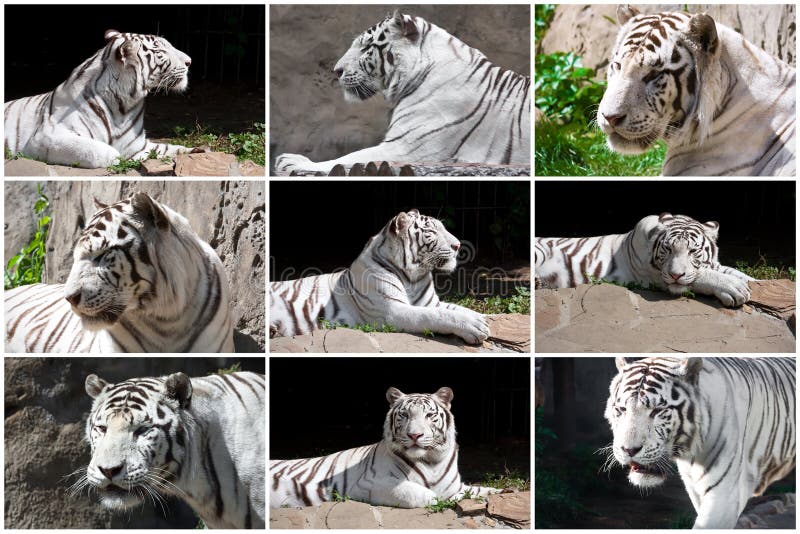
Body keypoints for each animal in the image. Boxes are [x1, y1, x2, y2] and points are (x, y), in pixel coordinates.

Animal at [5, 30, 194, 169]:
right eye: (161, 51)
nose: (189, 61)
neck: (125, 105)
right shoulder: (47, 136)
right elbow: (102, 151)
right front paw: (119, 160)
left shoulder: (138, 146)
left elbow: (169, 148)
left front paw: (195, 151)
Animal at [269, 209, 490, 344]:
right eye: (431, 231)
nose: (457, 245)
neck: (413, 277)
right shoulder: (392, 311)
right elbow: (436, 315)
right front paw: (475, 327)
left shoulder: (431, 302)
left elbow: (455, 308)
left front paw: (481, 319)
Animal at [270, 386, 501, 508]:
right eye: (404, 415)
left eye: (429, 415)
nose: (414, 435)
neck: (431, 460)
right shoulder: (371, 484)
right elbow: (429, 496)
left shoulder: (455, 486)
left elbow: (481, 490)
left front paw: (501, 492)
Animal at [534, 213, 753, 307]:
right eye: (668, 249)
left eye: (693, 251)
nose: (675, 274)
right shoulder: (655, 277)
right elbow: (699, 276)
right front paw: (734, 289)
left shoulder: (714, 263)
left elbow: (737, 273)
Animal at [604, 357, 795, 528]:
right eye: (621, 409)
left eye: (658, 410)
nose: (629, 450)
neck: (691, 452)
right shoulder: (695, 489)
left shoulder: (725, 494)